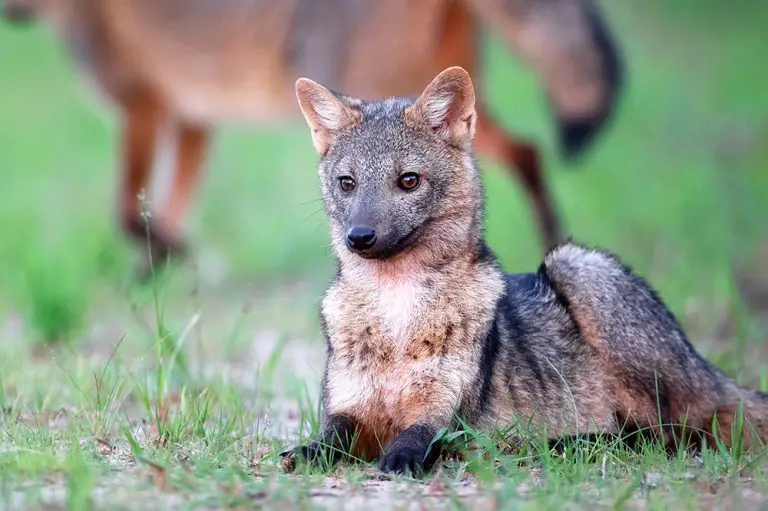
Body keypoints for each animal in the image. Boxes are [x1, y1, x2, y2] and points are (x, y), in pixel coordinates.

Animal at [2, 0, 622, 267]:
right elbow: (168, 206)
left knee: (521, 151)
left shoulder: (145, 106)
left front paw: (172, 252)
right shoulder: (195, 120)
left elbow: (129, 213)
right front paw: (163, 266)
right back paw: (551, 245)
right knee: (529, 151)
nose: (10, 12)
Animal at [280, 66, 768, 476]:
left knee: (670, 436)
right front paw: (305, 452)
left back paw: (570, 443)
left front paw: (400, 458)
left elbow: (416, 437)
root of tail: (713, 375)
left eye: (408, 181)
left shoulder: (444, 413)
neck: (397, 315)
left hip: (573, 265)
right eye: (347, 183)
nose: (359, 236)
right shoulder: (350, 409)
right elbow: (329, 438)